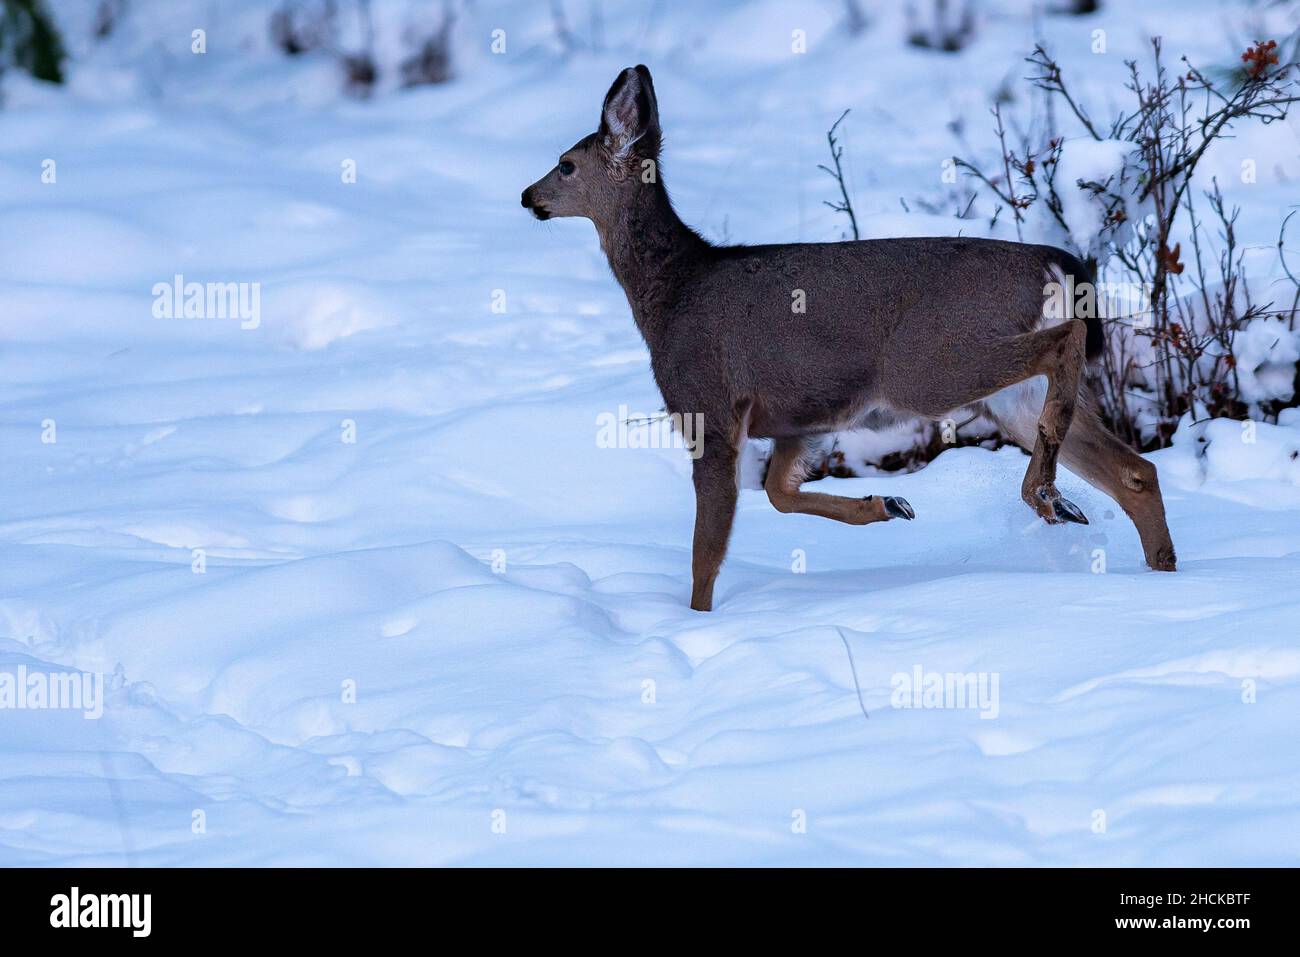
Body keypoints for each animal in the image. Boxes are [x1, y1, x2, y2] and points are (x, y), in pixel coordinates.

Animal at [521, 65, 1177, 612]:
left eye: (566, 164)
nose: (528, 197)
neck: (670, 293)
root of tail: (1051, 259)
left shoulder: (707, 404)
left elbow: (707, 550)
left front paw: (695, 621)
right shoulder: (797, 420)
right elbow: (779, 494)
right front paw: (888, 505)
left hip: (927, 363)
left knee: (1068, 343)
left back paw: (1044, 492)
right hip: (1001, 394)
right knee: (1138, 470)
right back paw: (1152, 566)